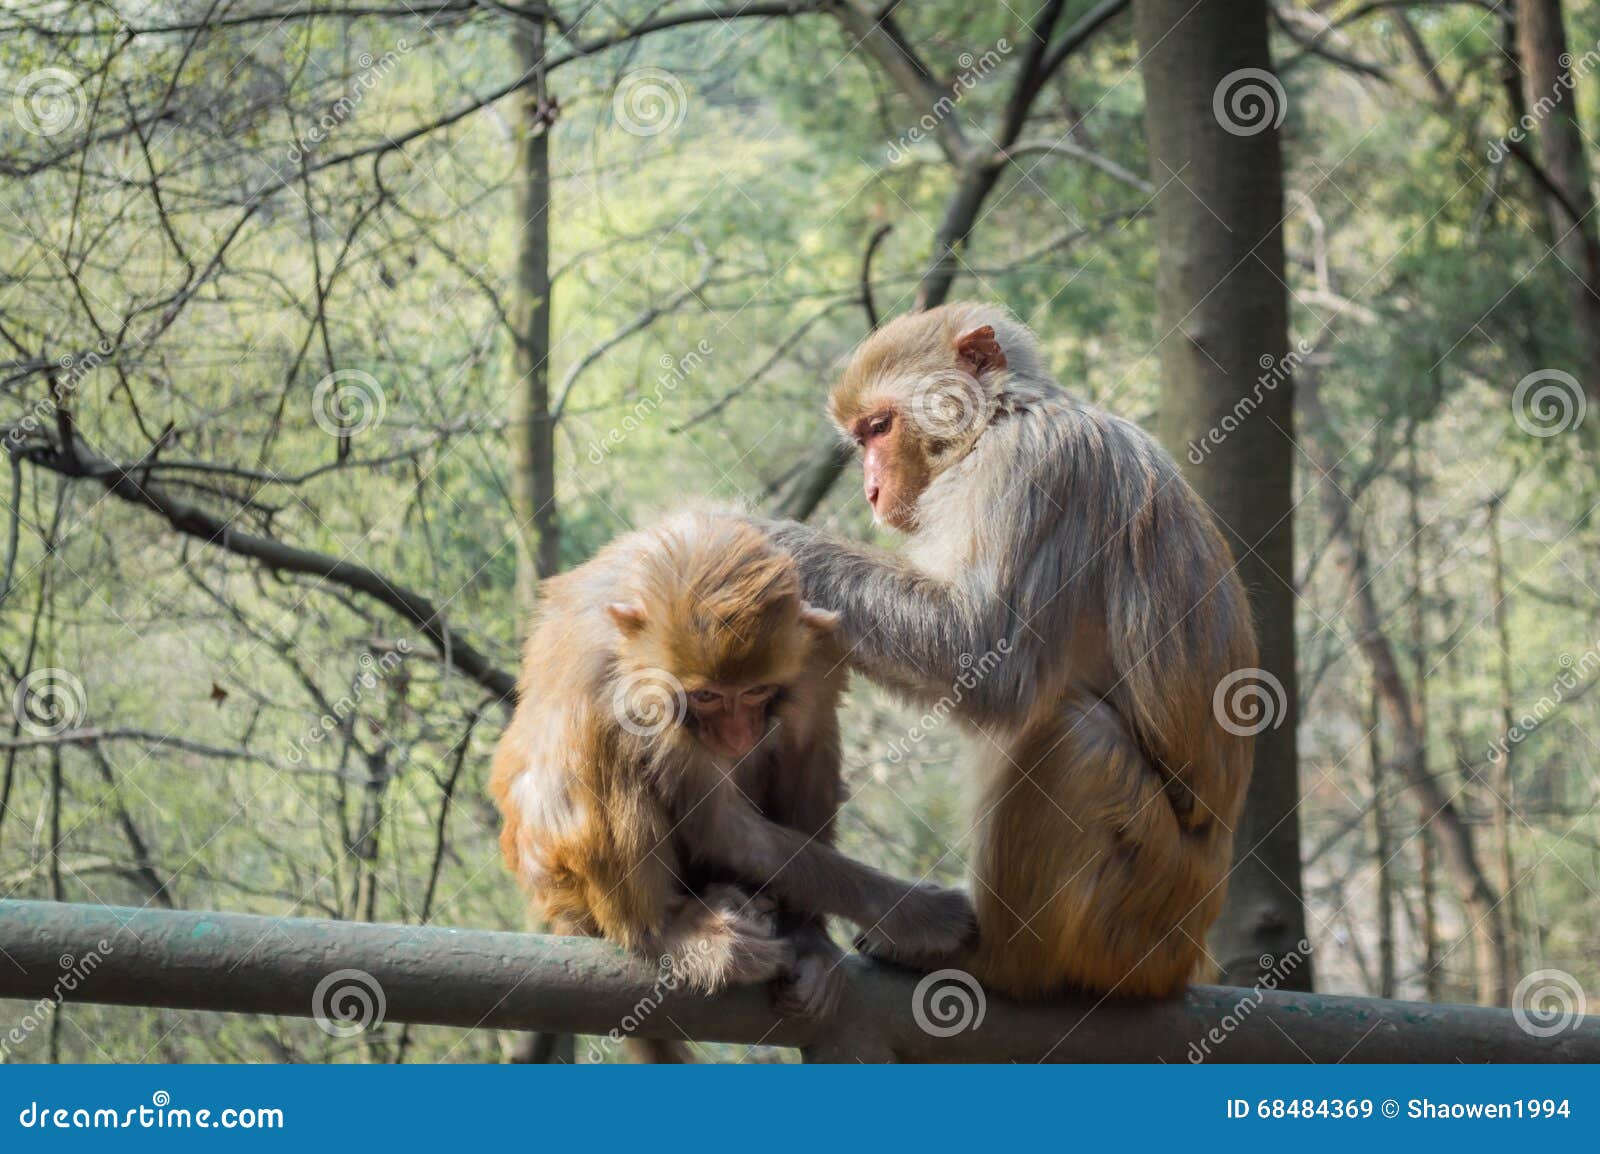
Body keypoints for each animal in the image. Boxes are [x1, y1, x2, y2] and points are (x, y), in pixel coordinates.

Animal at [490, 510, 977, 1057]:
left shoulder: (816, 651)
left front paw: (824, 930)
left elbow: (806, 737)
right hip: (563, 881)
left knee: (803, 740)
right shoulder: (641, 690)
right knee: (597, 741)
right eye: (706, 696)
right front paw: (918, 913)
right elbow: (718, 824)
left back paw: (802, 934)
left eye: (756, 693)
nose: (736, 734)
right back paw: (668, 934)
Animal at [760, 302, 1257, 1000]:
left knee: (1075, 739)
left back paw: (994, 960)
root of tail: (1191, 950)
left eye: (879, 428)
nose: (870, 491)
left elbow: (990, 657)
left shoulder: (1031, 468)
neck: (998, 418)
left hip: (1140, 915)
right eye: (860, 439)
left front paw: (776, 541)